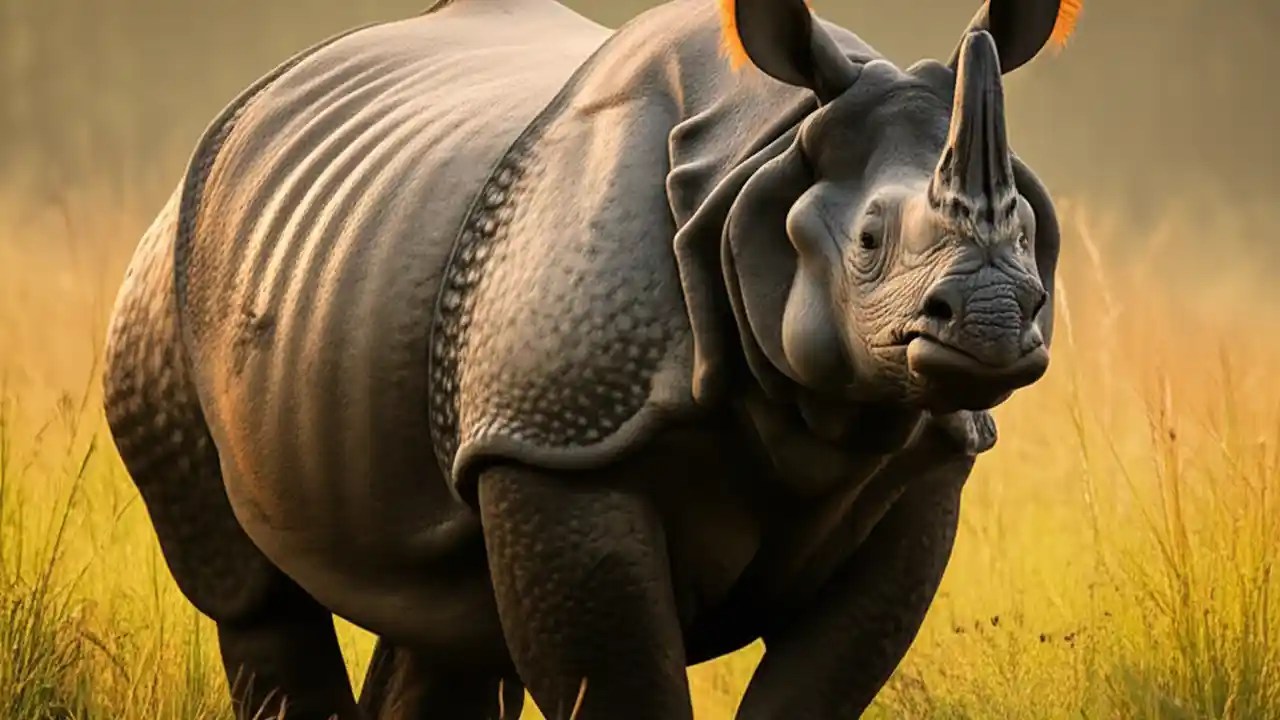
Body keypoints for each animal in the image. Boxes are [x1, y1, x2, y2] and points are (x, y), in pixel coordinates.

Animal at [101, 0, 1076, 717]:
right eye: (869, 241)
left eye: (1030, 229)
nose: (993, 320)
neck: (767, 150)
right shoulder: (556, 438)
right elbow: (617, 679)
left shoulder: (924, 463)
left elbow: (821, 681)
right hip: (163, 288)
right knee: (251, 597)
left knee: (442, 614)